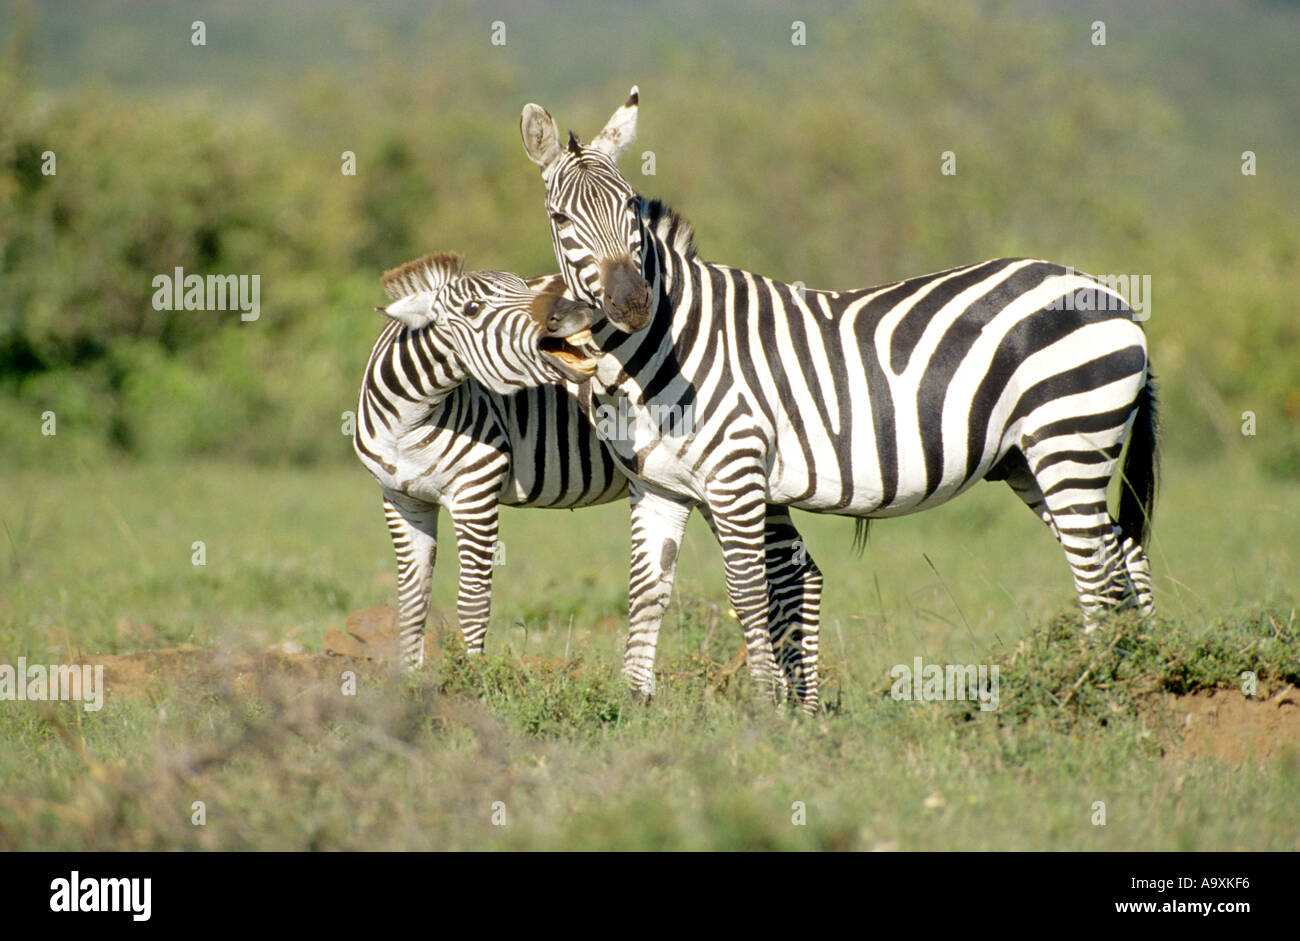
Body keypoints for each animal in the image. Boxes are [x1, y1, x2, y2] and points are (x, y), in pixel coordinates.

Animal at [352, 251, 824, 707]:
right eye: (472, 309)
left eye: (522, 287)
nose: (571, 312)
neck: (410, 420)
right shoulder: (400, 501)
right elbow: (412, 601)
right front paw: (409, 688)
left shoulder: (475, 493)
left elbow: (472, 601)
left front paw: (470, 685)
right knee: (800, 573)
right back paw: (797, 702)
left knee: (790, 575)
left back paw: (799, 705)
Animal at [509, 87, 1158, 700]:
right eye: (561, 218)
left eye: (628, 208)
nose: (633, 304)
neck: (669, 350)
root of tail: (1110, 295)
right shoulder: (658, 487)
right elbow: (647, 594)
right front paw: (634, 705)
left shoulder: (736, 477)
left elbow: (748, 594)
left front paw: (765, 709)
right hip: (1031, 459)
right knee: (1122, 552)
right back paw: (1141, 672)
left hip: (1068, 438)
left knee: (1096, 571)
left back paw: (1091, 685)